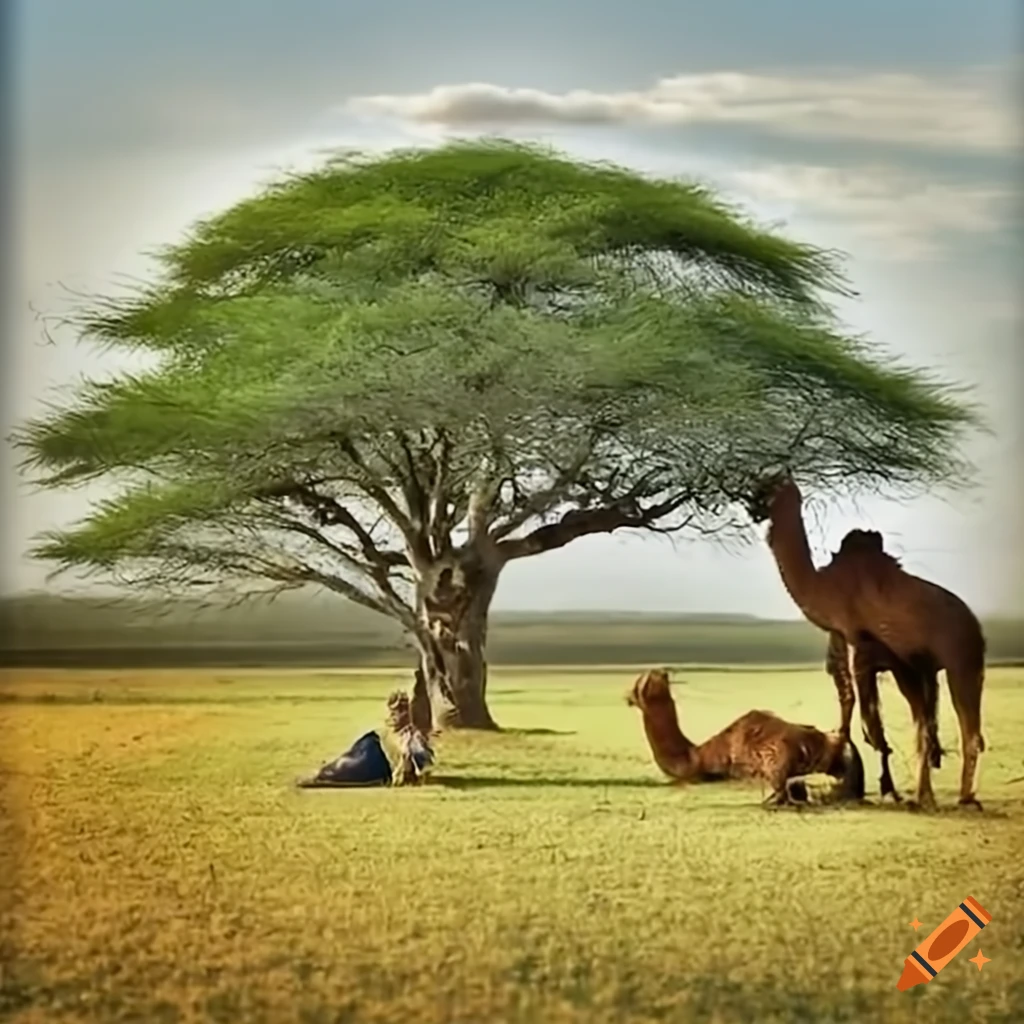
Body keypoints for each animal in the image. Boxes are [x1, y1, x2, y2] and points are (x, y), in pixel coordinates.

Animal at [747, 476, 985, 809]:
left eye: (770, 484)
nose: (749, 501)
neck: (822, 586)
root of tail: (974, 626)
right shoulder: (864, 653)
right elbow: (861, 715)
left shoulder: (855, 644)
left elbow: (865, 722)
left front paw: (869, 784)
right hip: (924, 669)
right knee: (929, 728)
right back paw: (926, 796)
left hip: (961, 662)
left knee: (969, 731)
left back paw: (965, 798)